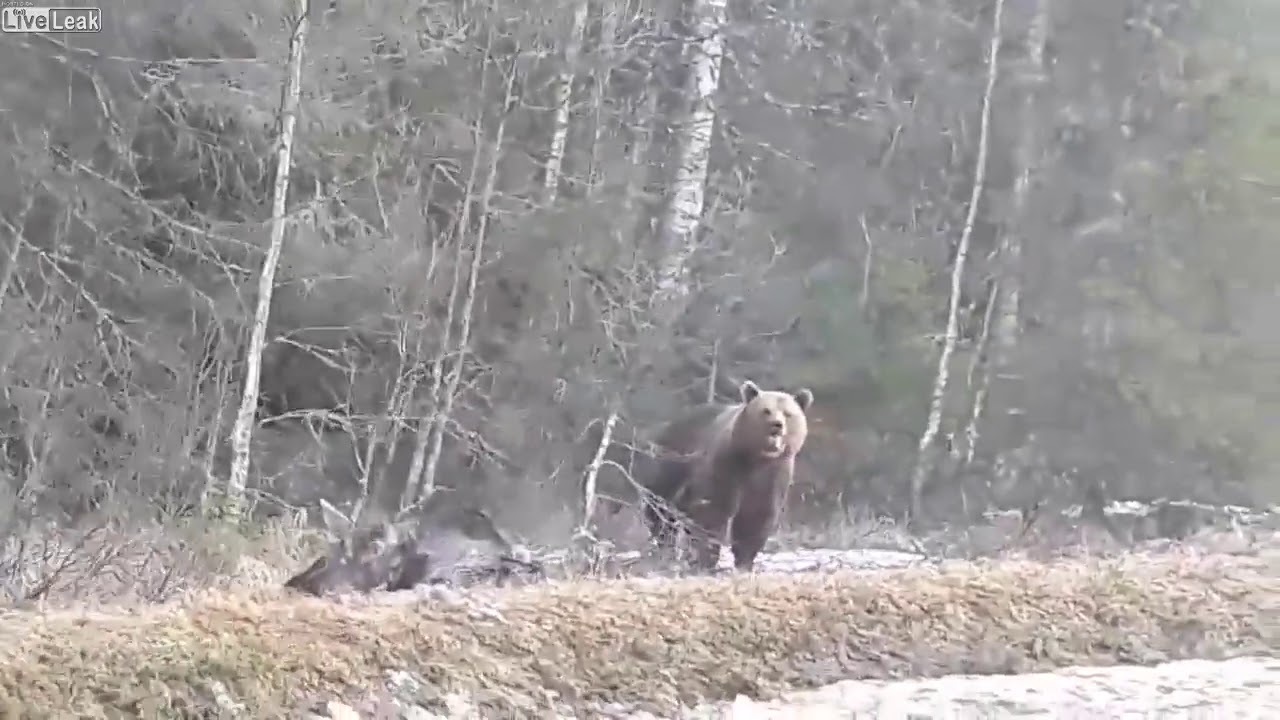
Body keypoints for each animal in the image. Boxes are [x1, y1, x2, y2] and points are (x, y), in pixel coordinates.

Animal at [640, 379, 813, 572]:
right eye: (766, 410)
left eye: (788, 413)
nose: (777, 424)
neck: (756, 459)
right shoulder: (726, 466)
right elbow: (712, 511)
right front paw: (706, 559)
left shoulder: (773, 477)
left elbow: (755, 517)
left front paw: (744, 562)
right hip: (669, 467)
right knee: (660, 511)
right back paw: (666, 550)